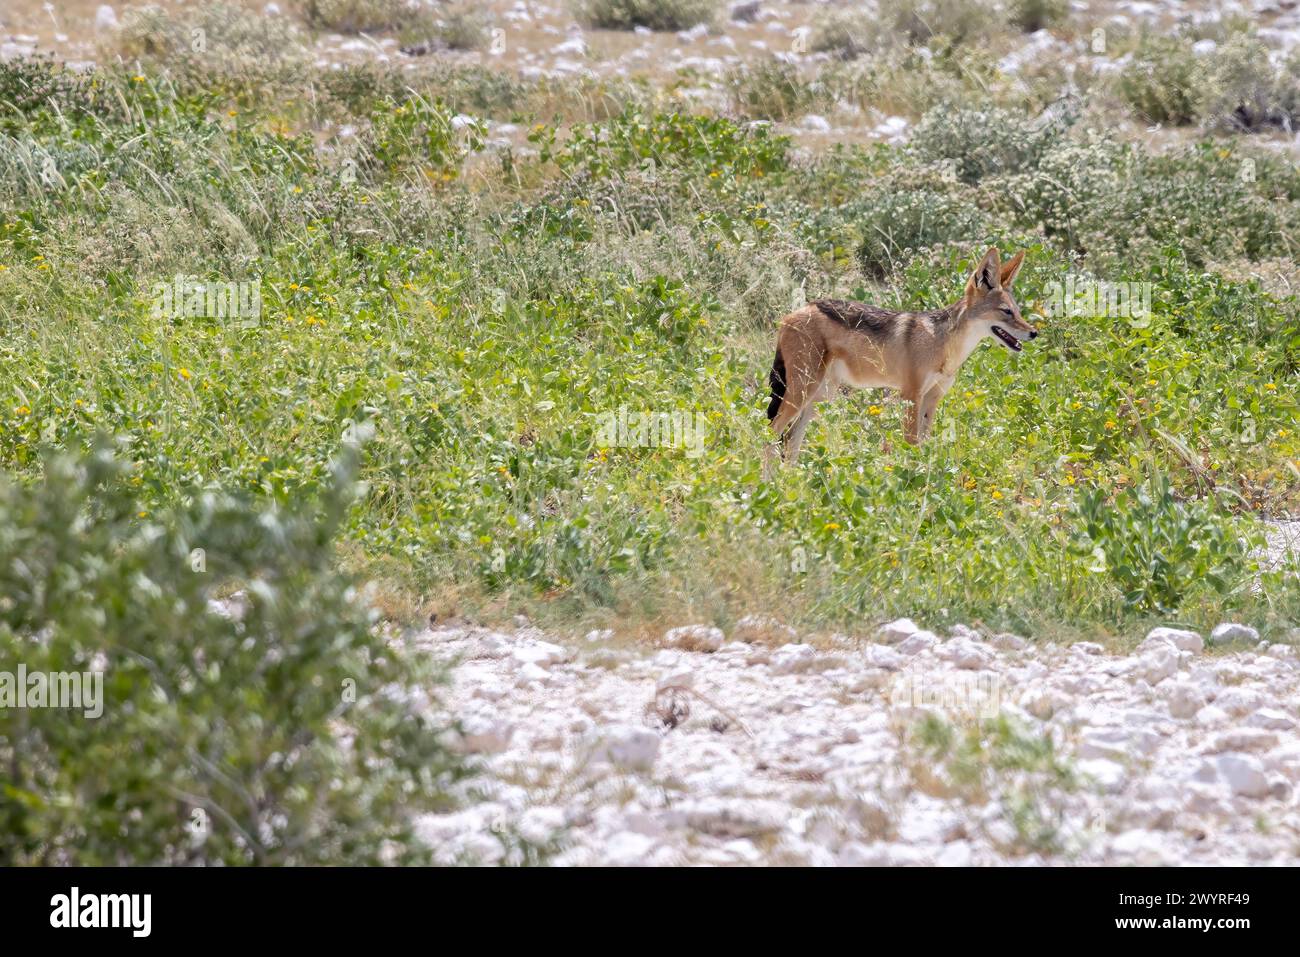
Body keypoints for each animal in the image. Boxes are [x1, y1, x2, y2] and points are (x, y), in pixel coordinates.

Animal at [765, 247, 1037, 469]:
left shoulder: (932, 398)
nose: (1034, 332)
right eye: (1006, 312)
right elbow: (912, 445)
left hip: (818, 398)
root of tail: (790, 316)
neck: (943, 347)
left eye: (1018, 311)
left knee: (789, 443)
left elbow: (925, 446)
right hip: (803, 393)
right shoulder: (910, 395)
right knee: (770, 434)